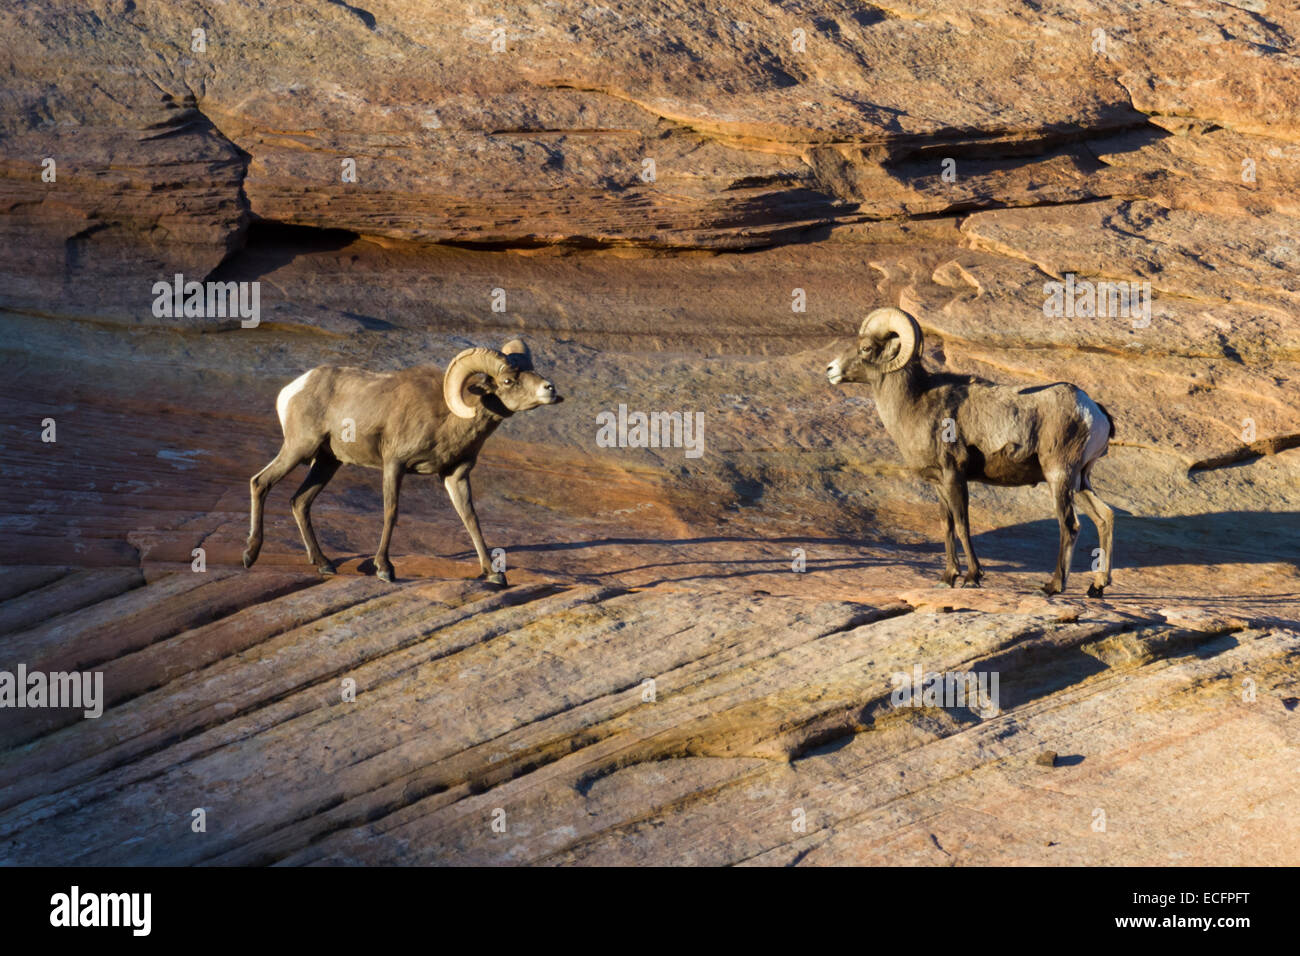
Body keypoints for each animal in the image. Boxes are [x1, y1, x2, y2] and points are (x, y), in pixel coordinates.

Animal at [241, 338, 562, 586]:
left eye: (533, 371)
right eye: (508, 380)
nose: (551, 389)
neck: (447, 418)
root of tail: (292, 389)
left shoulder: (455, 475)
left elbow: (470, 518)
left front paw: (494, 575)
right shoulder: (394, 465)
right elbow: (391, 512)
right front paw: (385, 569)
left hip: (327, 462)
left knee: (299, 502)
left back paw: (324, 564)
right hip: (299, 448)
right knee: (260, 482)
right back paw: (250, 556)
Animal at [825, 307, 1115, 596]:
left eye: (866, 348)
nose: (830, 370)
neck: (915, 403)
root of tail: (1094, 411)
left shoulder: (955, 476)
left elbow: (963, 524)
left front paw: (972, 577)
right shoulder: (938, 483)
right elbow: (947, 526)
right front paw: (947, 577)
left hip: (1059, 476)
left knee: (1070, 525)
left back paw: (1052, 586)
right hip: (1080, 482)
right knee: (1105, 517)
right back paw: (1097, 586)